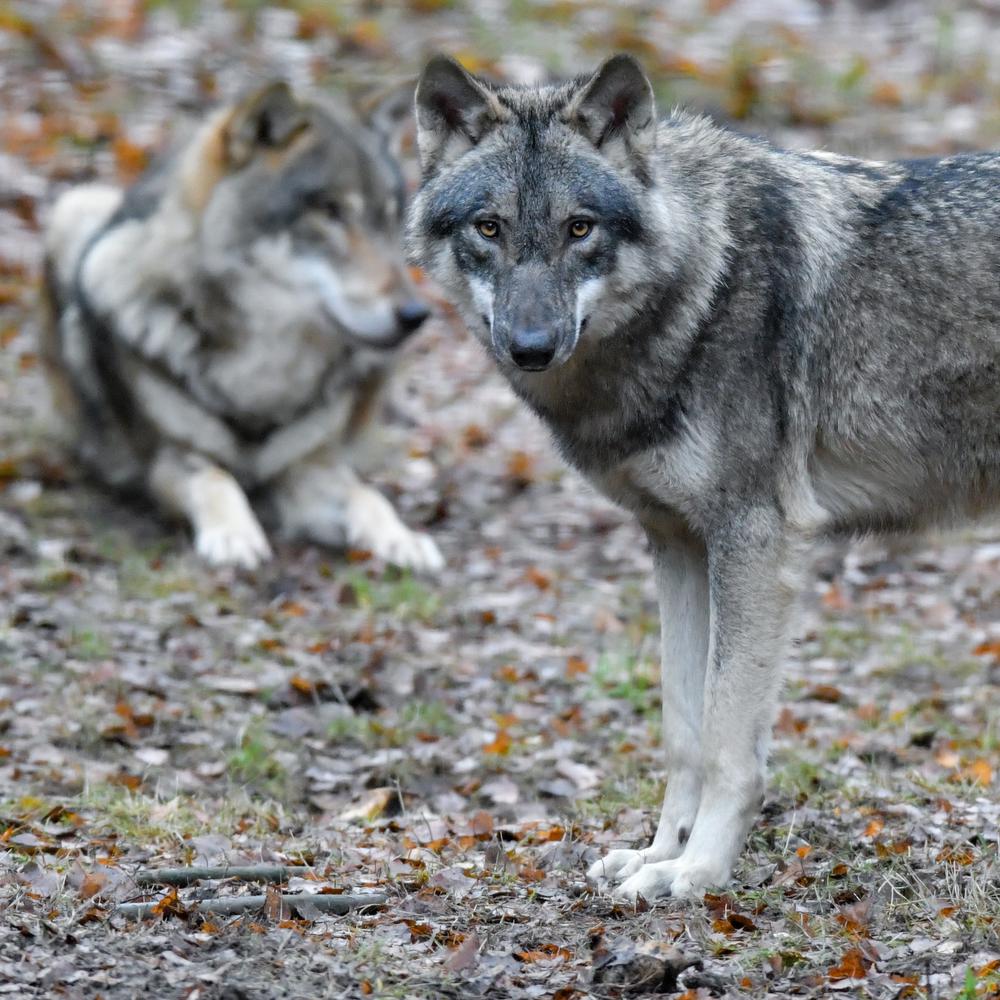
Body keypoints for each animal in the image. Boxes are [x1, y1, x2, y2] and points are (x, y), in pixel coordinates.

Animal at [41, 81, 443, 572]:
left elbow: (367, 496)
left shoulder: (307, 468)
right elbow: (215, 478)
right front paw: (234, 535)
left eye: (387, 216)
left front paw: (401, 539)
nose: (416, 315)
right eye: (330, 211)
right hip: (75, 208)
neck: (264, 372)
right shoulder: (171, 460)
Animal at [406, 53, 1000, 900]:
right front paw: (658, 855)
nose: (531, 346)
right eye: (489, 227)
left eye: (579, 228)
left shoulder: (755, 541)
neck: (701, 288)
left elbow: (726, 738)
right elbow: (682, 729)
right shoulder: (677, 543)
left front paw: (700, 871)